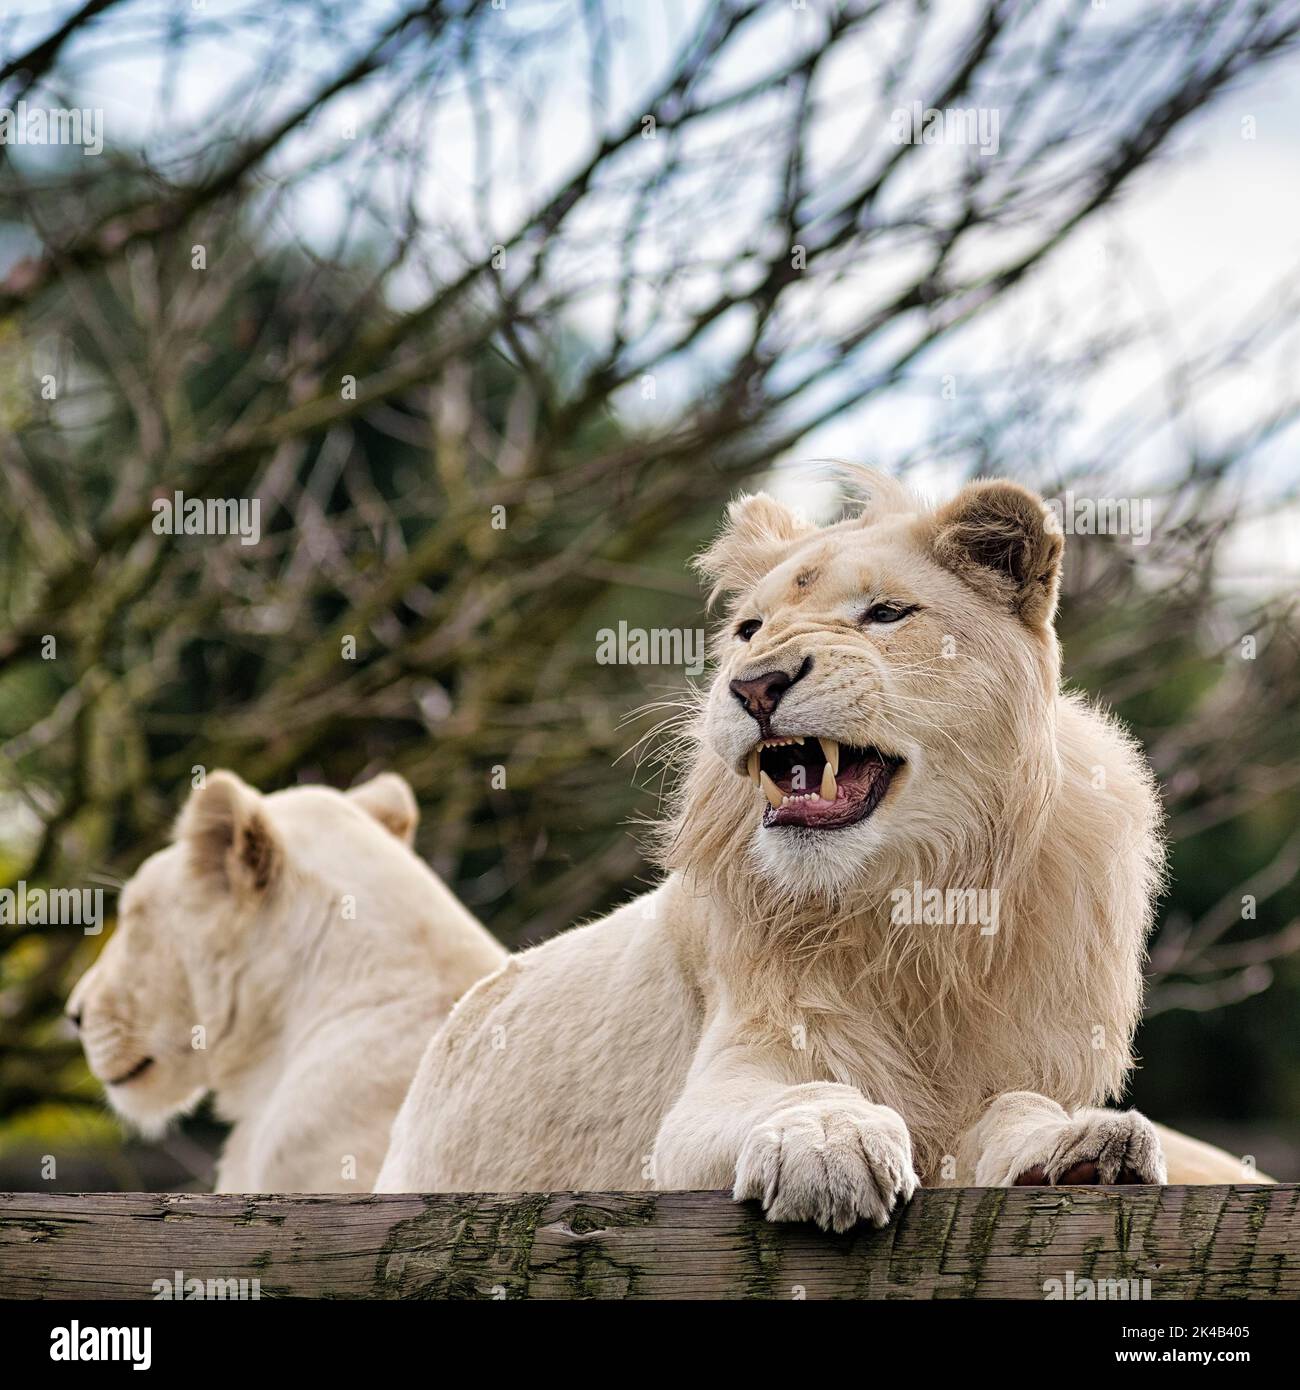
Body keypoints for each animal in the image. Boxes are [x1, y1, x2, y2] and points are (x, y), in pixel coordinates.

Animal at [377, 474, 1269, 1225]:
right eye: (748, 630)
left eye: (885, 614)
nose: (755, 685)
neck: (918, 905)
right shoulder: (721, 1081)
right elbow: (800, 1090)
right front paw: (828, 1145)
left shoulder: (1019, 1063)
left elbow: (1015, 1108)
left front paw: (1076, 1148)